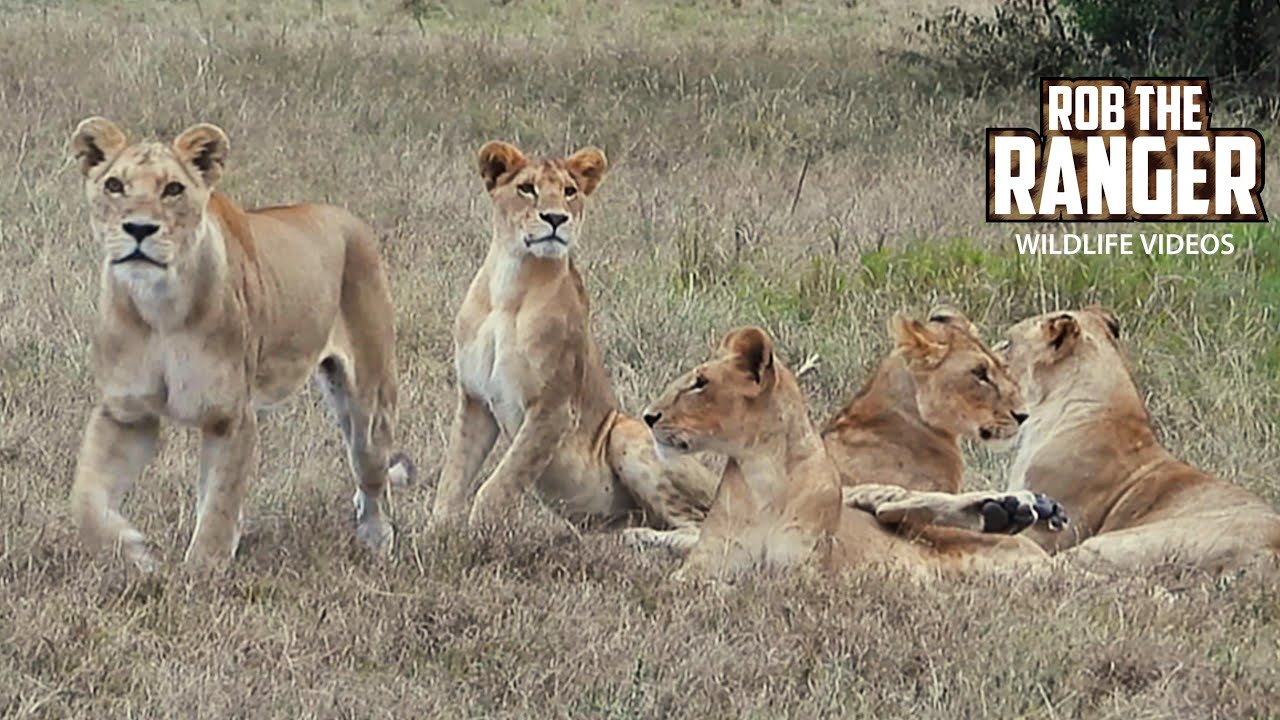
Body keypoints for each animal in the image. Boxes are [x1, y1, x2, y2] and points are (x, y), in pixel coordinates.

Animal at [68, 117, 412, 571]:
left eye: (173, 189)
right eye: (114, 185)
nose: (139, 228)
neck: (159, 307)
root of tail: (346, 218)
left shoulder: (229, 416)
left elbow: (218, 505)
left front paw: (201, 573)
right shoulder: (125, 413)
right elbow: (85, 500)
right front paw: (134, 552)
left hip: (368, 401)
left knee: (371, 469)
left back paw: (376, 536)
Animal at [430, 140, 718, 534]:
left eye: (569, 191)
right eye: (527, 188)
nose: (556, 219)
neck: (510, 283)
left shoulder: (553, 407)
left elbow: (498, 484)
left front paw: (476, 537)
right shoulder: (475, 399)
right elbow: (454, 477)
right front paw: (433, 534)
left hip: (627, 432)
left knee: (700, 527)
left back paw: (634, 538)